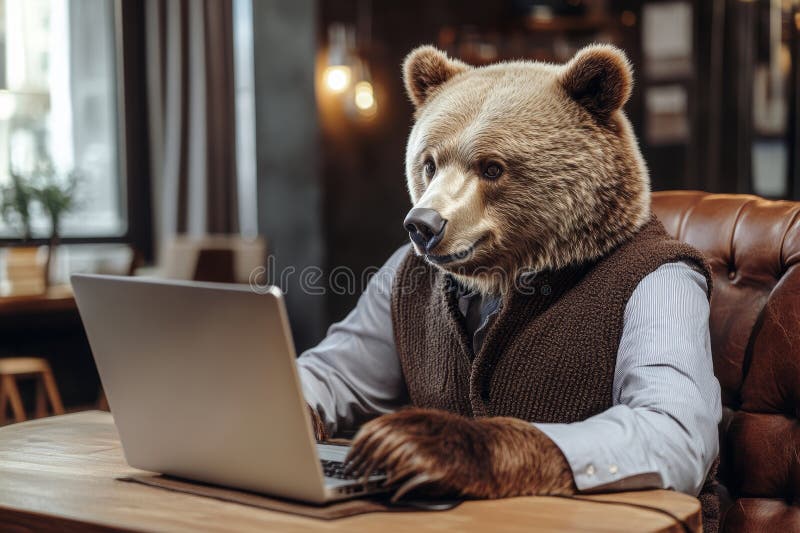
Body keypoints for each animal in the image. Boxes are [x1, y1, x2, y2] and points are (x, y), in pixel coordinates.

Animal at [302, 44, 720, 532]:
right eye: (429, 162)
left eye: (492, 167)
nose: (422, 224)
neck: (504, 274)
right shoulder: (392, 281)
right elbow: (330, 366)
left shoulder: (660, 285)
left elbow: (667, 415)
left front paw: (412, 443)